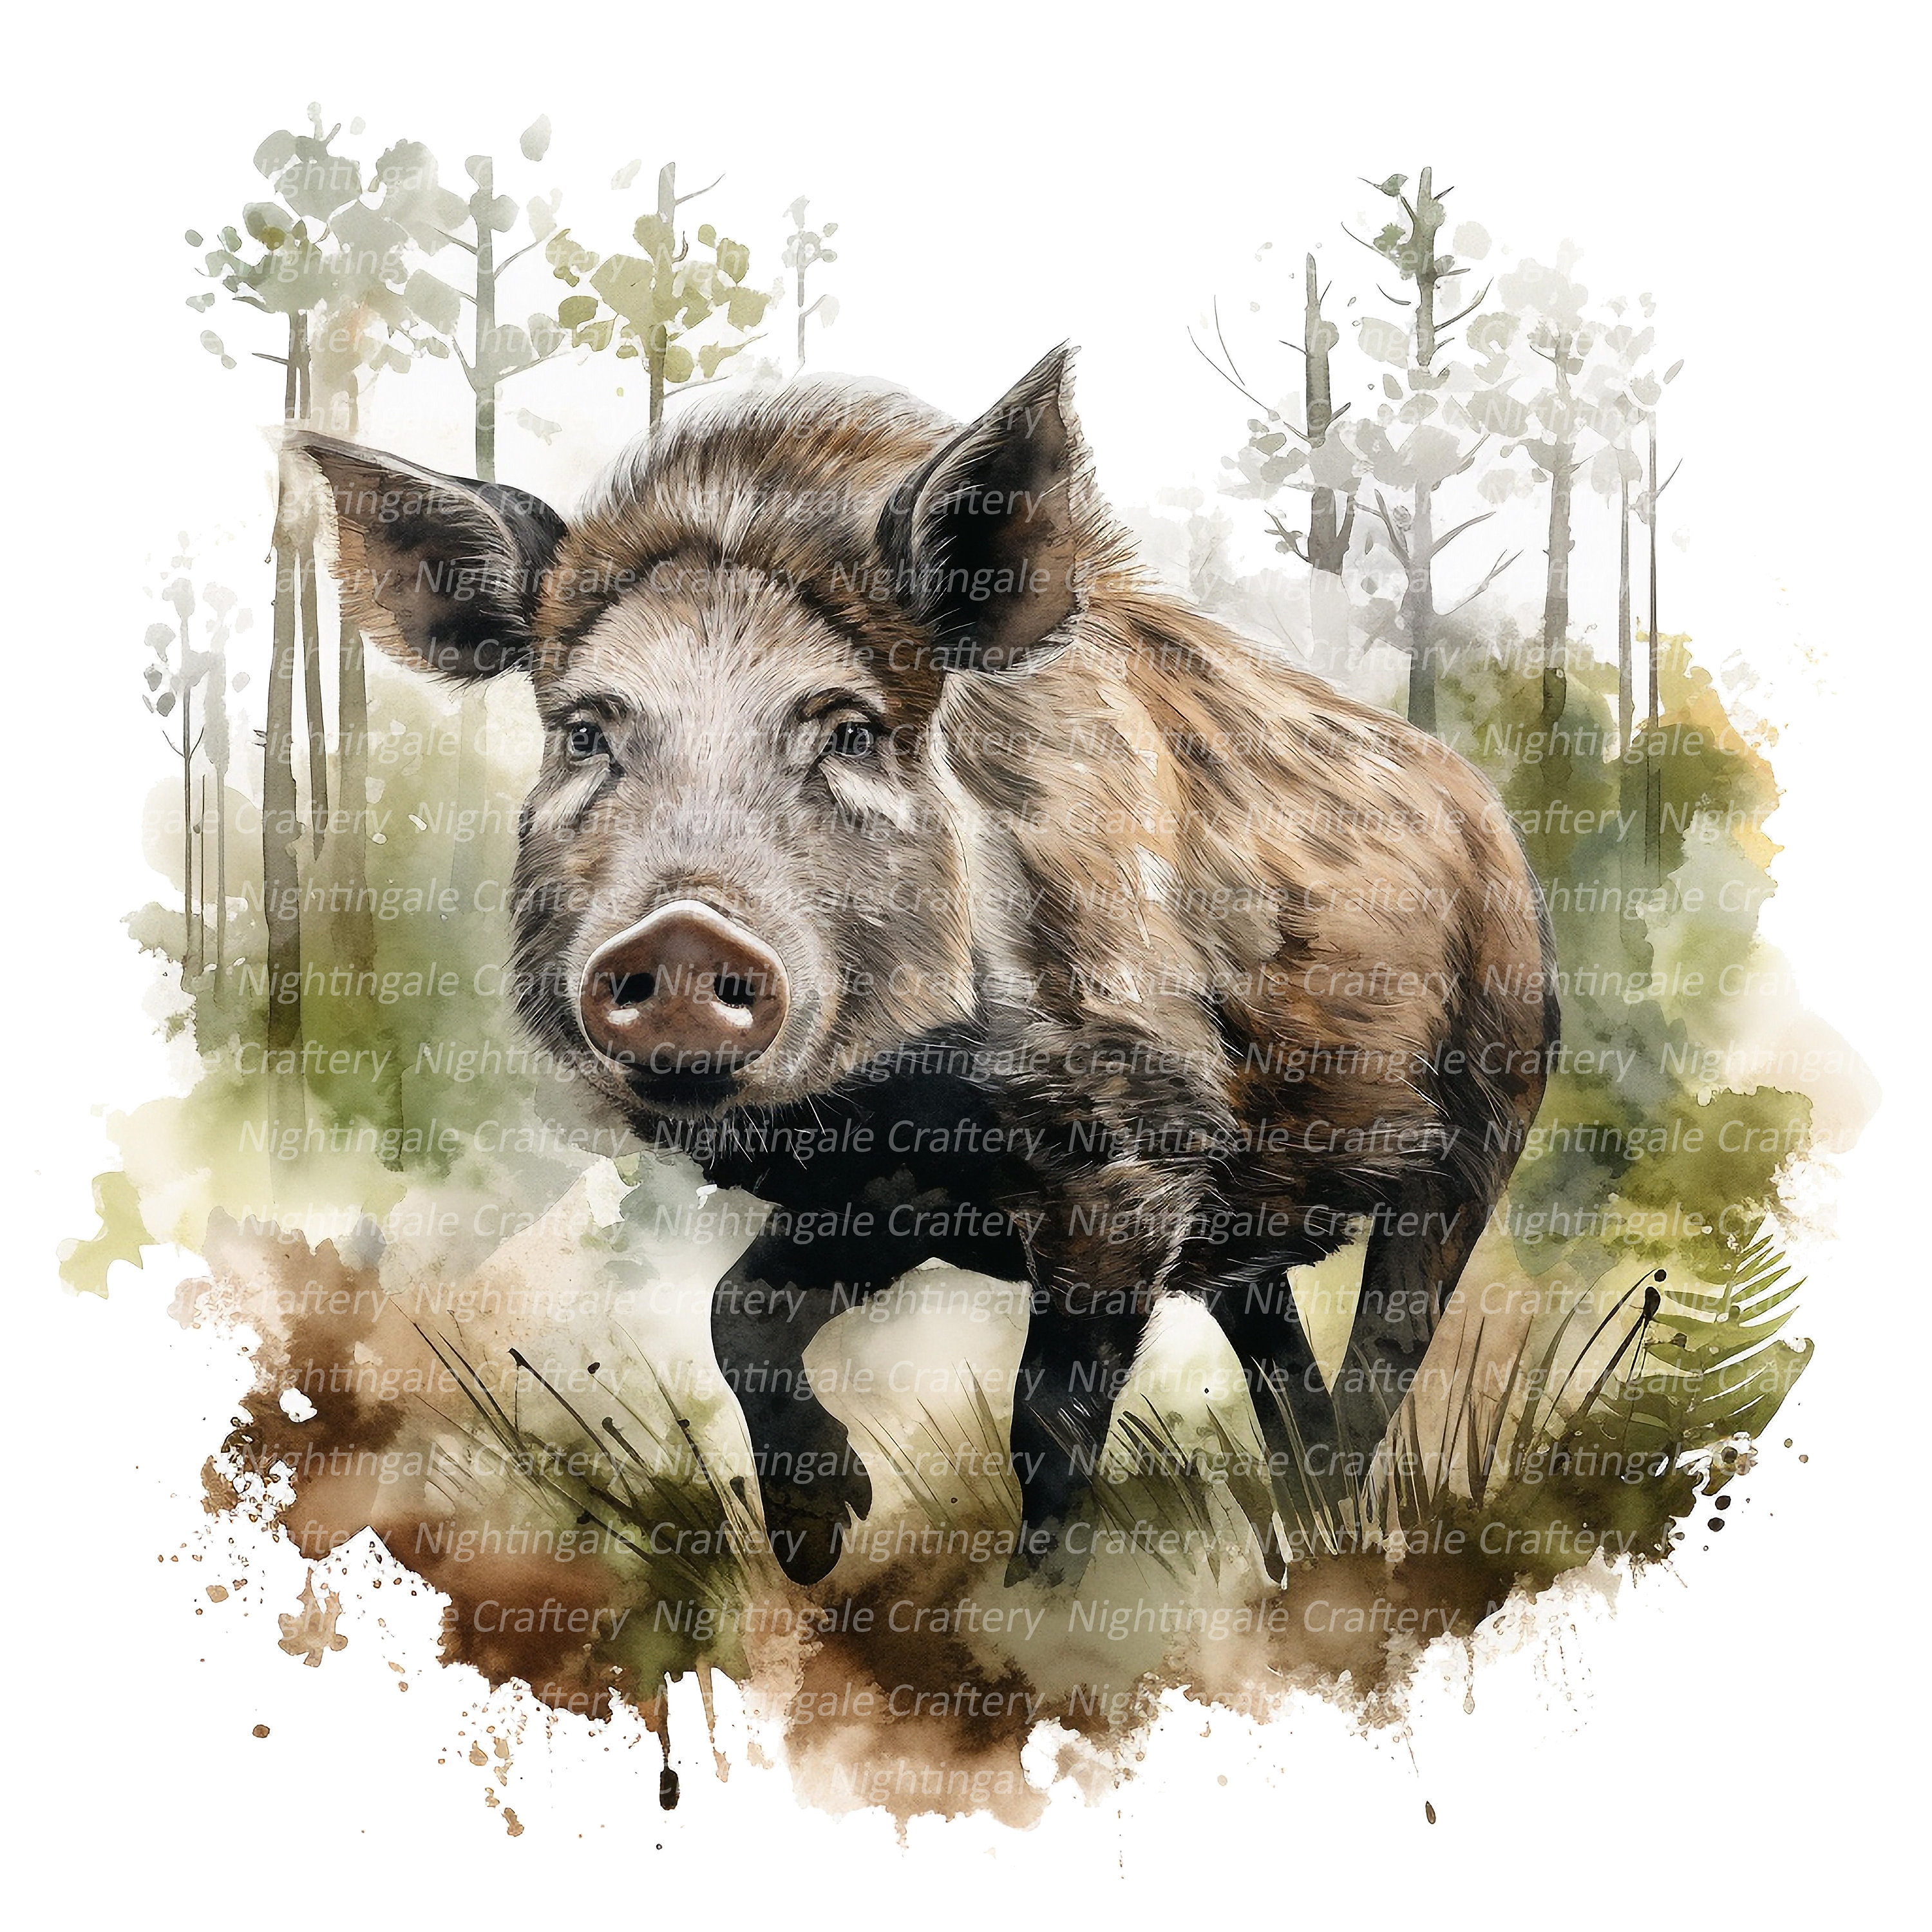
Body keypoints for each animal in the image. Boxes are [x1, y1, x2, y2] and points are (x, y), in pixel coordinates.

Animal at [296, 345, 1555, 1588]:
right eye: (584, 732)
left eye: (850, 731)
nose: (684, 934)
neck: (906, 1098)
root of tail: (1491, 815)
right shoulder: (886, 1194)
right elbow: (737, 1312)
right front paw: (814, 1550)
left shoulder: (1132, 1155)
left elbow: (1046, 1420)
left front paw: (1027, 1610)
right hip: (1251, 1234)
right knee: (1288, 1376)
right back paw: (1302, 1553)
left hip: (1480, 1128)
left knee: (1384, 1353)